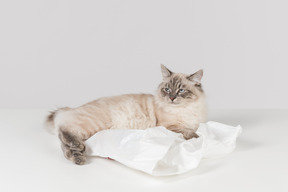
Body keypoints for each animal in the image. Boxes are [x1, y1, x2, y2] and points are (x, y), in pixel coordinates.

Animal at [45, 64, 207, 165]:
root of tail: (69, 109)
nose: (172, 98)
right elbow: (189, 132)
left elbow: (192, 128)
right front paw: (198, 137)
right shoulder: (169, 126)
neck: (186, 109)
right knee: (64, 131)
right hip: (91, 126)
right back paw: (78, 150)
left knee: (64, 144)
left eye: (181, 90)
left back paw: (78, 157)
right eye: (167, 90)